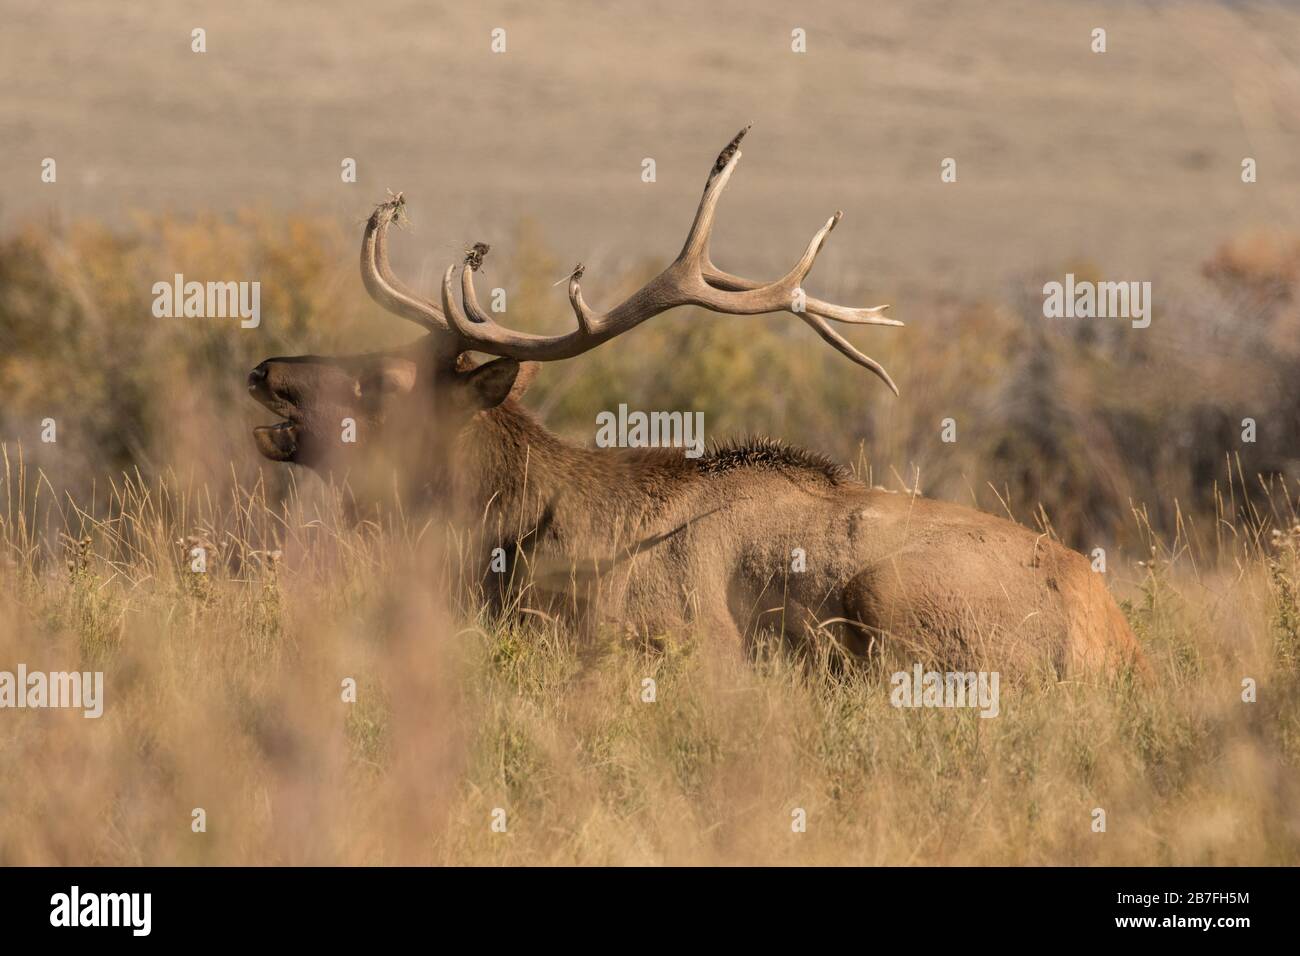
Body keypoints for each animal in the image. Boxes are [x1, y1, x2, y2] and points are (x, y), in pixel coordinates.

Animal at [247, 128, 1147, 681]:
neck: (508, 536)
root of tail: (1117, 646)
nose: (264, 369)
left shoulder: (675, 637)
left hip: (891, 596)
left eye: (382, 384)